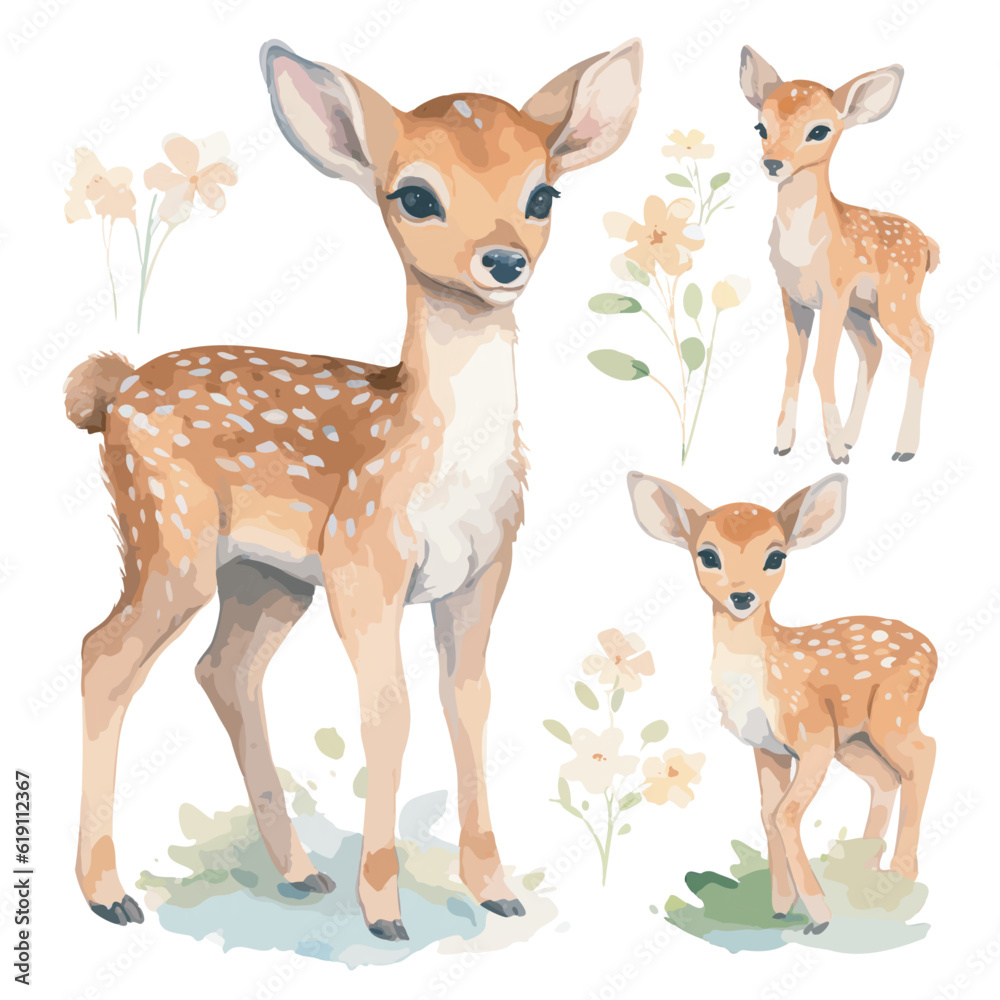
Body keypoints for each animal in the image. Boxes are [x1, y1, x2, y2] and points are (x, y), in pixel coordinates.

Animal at [63, 38, 642, 941]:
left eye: (543, 193)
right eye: (417, 195)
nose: (504, 259)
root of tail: (112, 392)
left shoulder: (483, 572)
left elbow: (467, 705)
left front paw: (496, 890)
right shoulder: (362, 560)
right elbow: (389, 712)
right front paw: (386, 912)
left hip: (265, 577)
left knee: (224, 671)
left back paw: (300, 873)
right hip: (168, 533)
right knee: (104, 654)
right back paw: (109, 893)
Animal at [627, 470, 936, 933]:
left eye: (775, 557)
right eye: (707, 554)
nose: (742, 597)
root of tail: (932, 650)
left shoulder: (813, 734)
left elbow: (785, 813)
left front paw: (819, 916)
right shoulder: (767, 747)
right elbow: (766, 813)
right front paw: (781, 906)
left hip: (891, 712)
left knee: (923, 753)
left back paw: (900, 873)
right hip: (854, 739)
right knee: (885, 777)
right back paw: (866, 872)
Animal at [739, 47, 940, 466]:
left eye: (819, 130)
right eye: (760, 127)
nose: (773, 163)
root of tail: (929, 244)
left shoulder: (833, 290)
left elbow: (822, 366)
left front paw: (833, 454)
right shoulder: (793, 296)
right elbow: (795, 364)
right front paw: (783, 444)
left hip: (895, 299)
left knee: (924, 338)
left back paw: (903, 449)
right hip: (862, 309)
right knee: (874, 350)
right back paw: (851, 439)